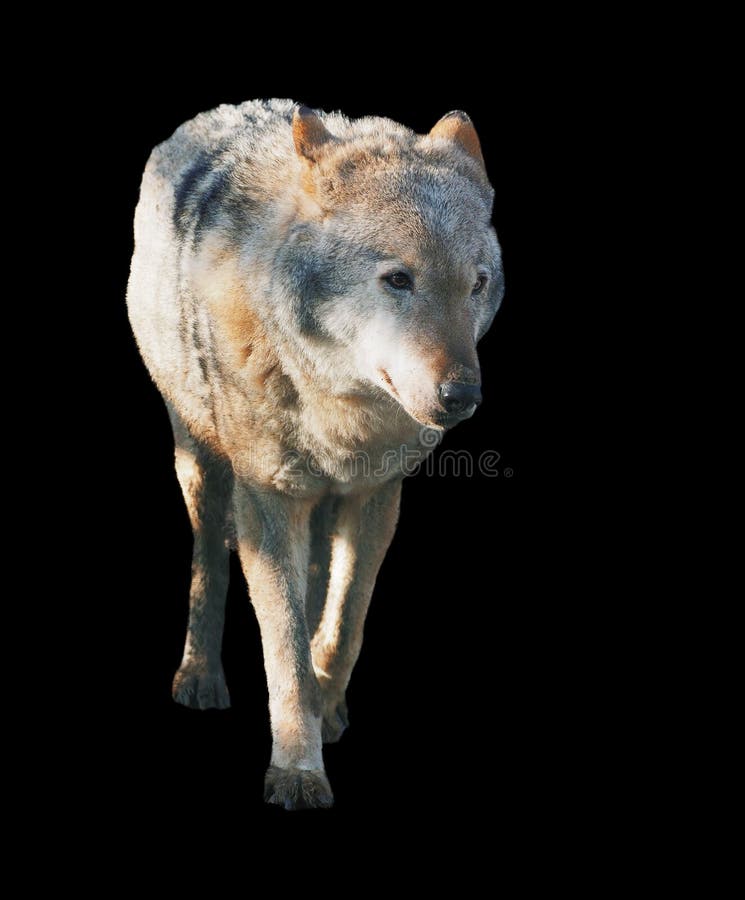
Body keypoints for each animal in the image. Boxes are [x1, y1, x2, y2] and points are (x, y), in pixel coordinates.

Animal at [127, 99, 504, 809]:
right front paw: (298, 770)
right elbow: (285, 651)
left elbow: (343, 624)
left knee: (315, 586)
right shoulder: (269, 502)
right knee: (208, 562)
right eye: (398, 279)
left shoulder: (376, 497)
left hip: (321, 506)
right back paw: (199, 676)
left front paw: (326, 708)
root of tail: (210, 115)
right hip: (202, 466)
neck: (340, 412)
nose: (462, 394)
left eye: (478, 284)